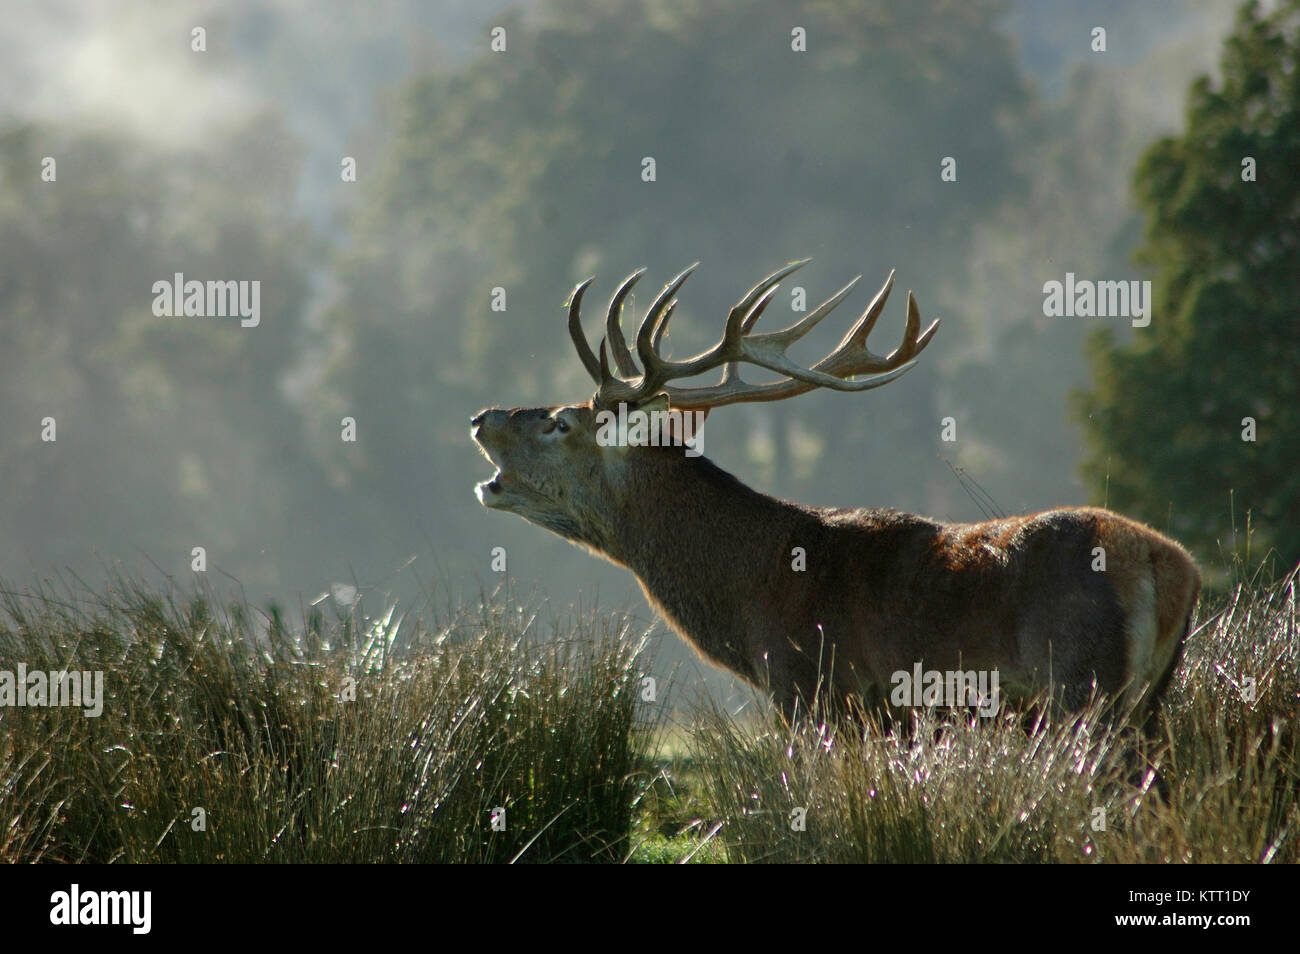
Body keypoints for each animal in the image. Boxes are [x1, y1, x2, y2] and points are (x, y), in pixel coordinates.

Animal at [470, 261, 1201, 727]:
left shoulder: (819, 693)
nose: (480, 417)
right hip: (1150, 701)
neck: (750, 604)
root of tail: (1172, 569)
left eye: (560, 423)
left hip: (1081, 687)